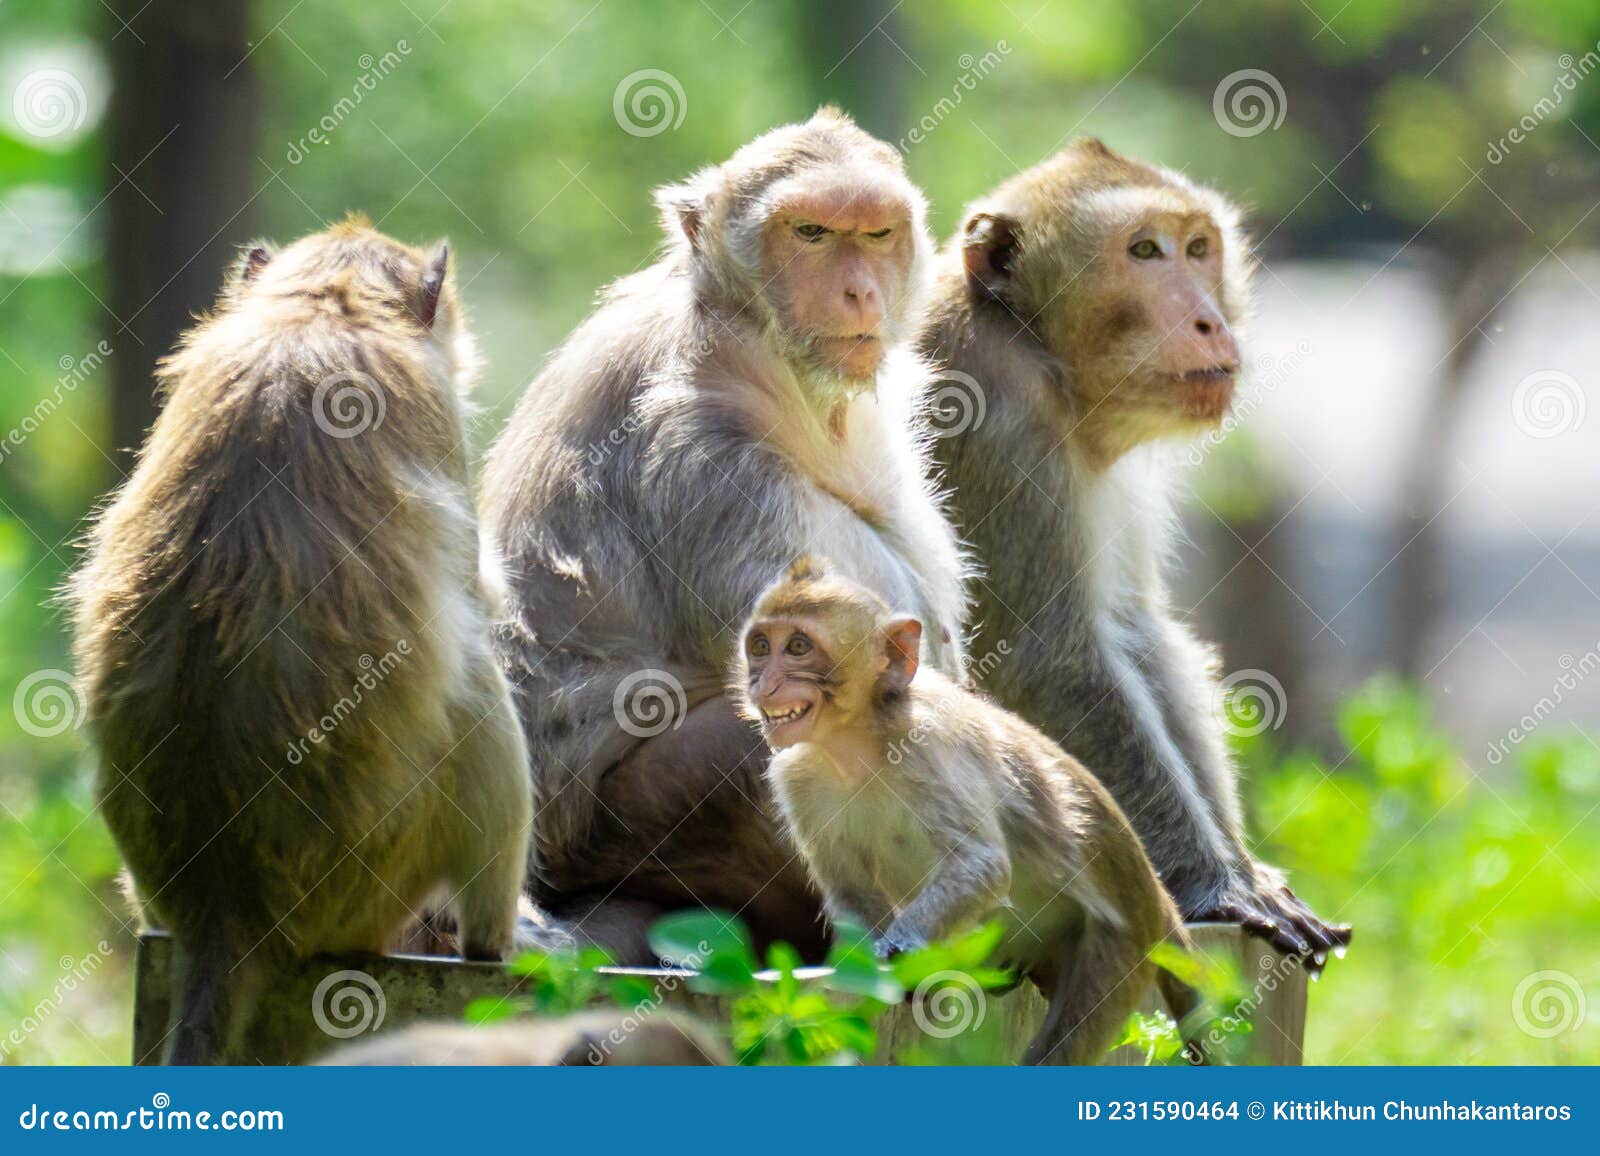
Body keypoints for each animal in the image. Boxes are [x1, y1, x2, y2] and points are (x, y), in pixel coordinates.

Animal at [66, 216, 532, 1063]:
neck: (322, 304)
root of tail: (223, 908)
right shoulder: (434, 414)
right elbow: (474, 599)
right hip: (381, 875)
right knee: (478, 691)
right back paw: (490, 946)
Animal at [734, 556, 1206, 1065]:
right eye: (760, 647)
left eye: (798, 646)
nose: (762, 682)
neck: (861, 744)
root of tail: (1153, 894)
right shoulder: (796, 780)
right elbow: (849, 889)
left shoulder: (932, 748)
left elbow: (982, 864)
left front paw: (899, 948)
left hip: (1120, 949)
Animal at [916, 138, 1351, 966]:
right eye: (1144, 252)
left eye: (1199, 248)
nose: (1210, 320)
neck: (1035, 347)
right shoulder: (995, 419)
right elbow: (1052, 658)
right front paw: (1221, 885)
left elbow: (1138, 634)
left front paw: (1245, 870)